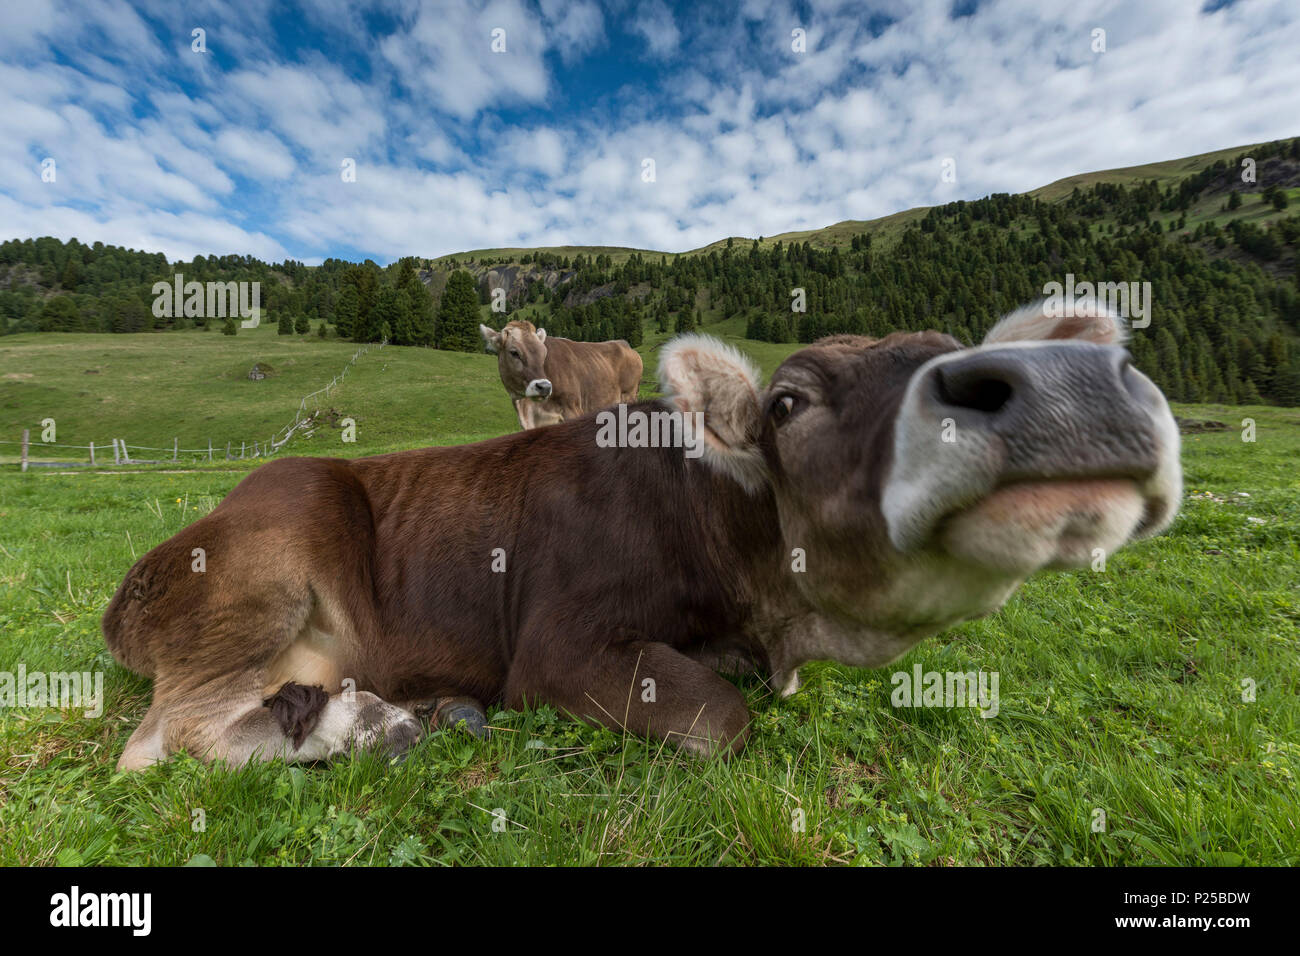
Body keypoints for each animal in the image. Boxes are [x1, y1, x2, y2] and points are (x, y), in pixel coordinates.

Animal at [479, 319, 643, 429]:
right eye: (514, 352)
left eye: (544, 353)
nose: (544, 387)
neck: (528, 409)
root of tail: (624, 344)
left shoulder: (573, 410)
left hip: (629, 396)